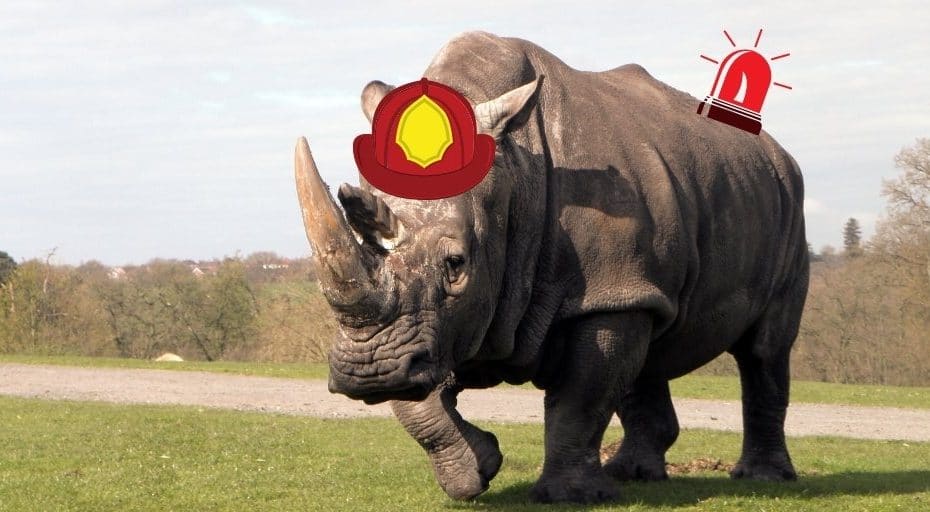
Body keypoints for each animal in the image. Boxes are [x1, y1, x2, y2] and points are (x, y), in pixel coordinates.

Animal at [294, 31, 808, 503]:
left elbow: (581, 398)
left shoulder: (602, 293)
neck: (513, 177)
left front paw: (569, 496)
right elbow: (416, 398)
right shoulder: (433, 331)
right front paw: (476, 470)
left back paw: (762, 479)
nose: (367, 371)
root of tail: (778, 151)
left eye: (456, 264)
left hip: (787, 202)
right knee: (651, 335)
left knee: (764, 350)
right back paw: (634, 475)